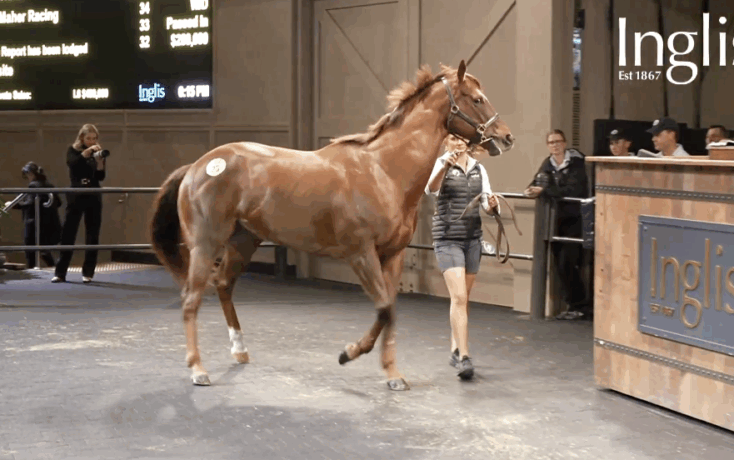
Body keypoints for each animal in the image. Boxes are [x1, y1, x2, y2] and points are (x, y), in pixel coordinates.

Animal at [149, 60, 515, 391]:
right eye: (477, 99)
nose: (506, 137)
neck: (383, 171)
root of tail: (197, 166)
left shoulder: (392, 256)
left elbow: (391, 312)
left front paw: (392, 374)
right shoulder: (361, 254)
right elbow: (383, 309)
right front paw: (348, 353)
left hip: (244, 241)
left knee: (223, 284)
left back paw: (240, 351)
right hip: (206, 244)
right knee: (192, 298)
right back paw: (198, 370)